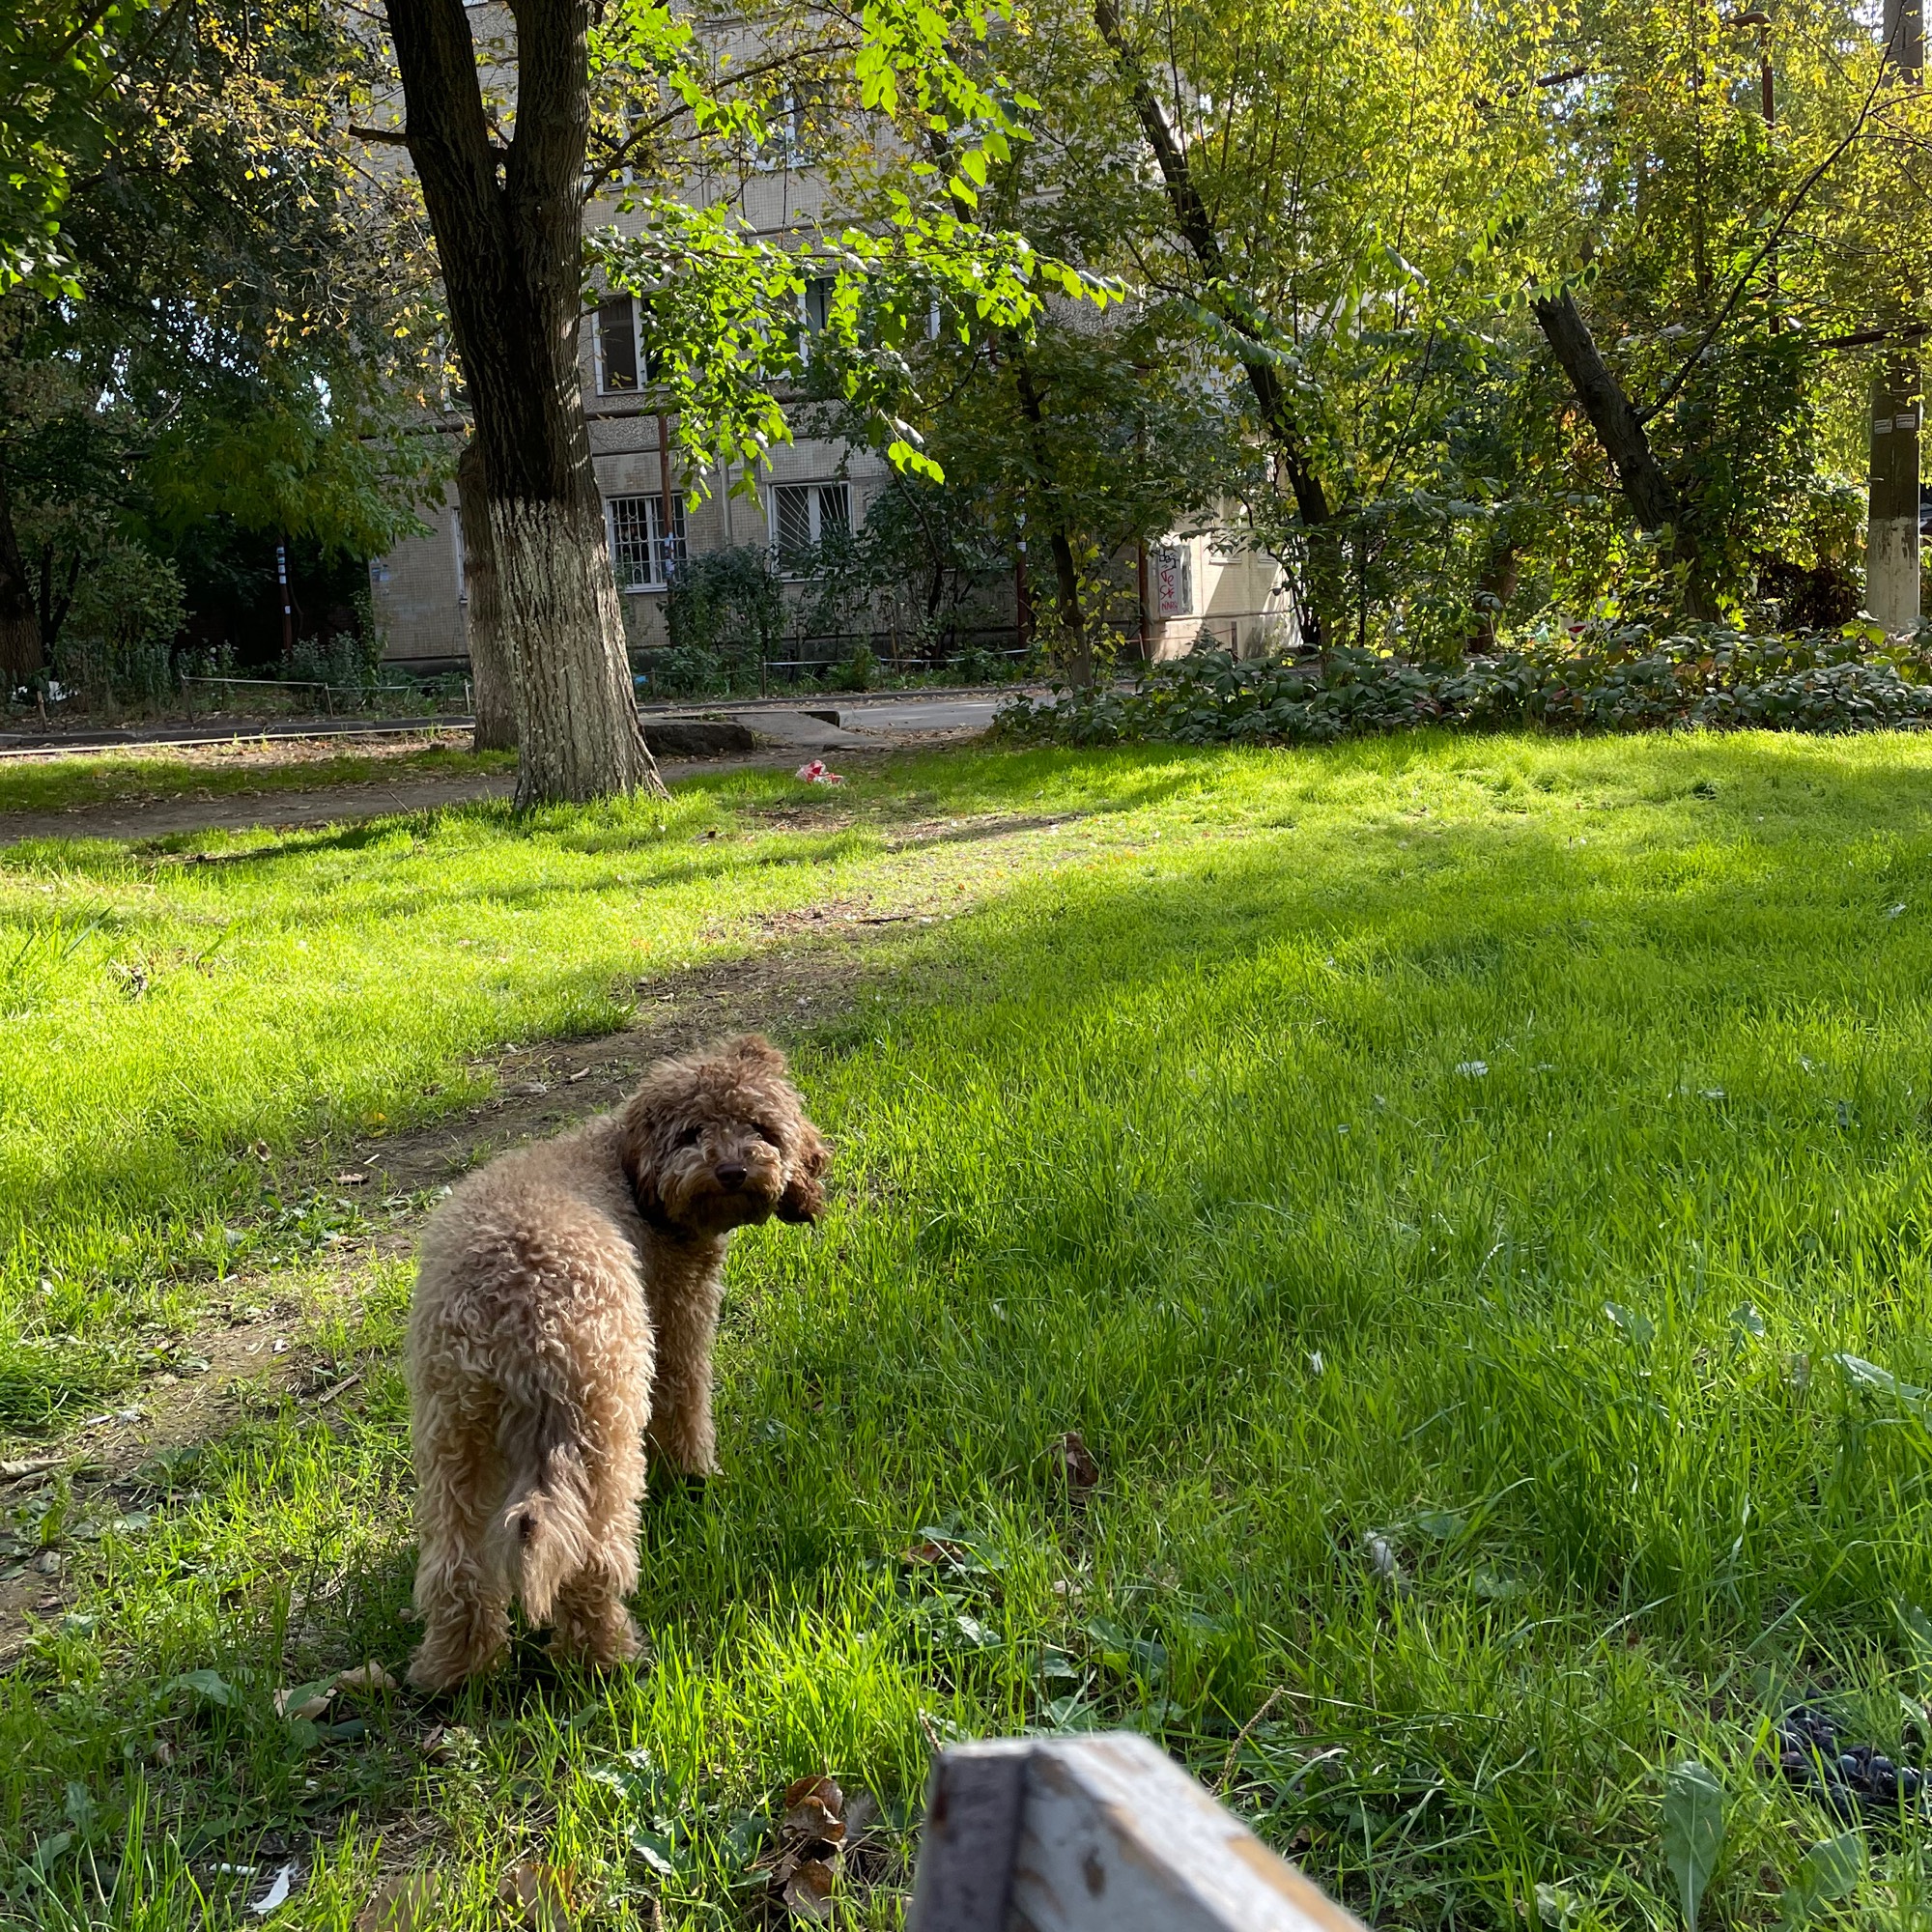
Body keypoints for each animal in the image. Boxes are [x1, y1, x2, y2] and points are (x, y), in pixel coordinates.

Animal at [404, 1036, 827, 1685]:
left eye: (759, 1128)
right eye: (693, 1132)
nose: (733, 1169)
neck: (626, 1167)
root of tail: (521, 1303)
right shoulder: (678, 1324)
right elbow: (686, 1408)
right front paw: (697, 1478)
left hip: (456, 1431)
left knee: (456, 1567)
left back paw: (456, 1672)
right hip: (601, 1420)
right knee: (593, 1558)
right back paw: (605, 1661)